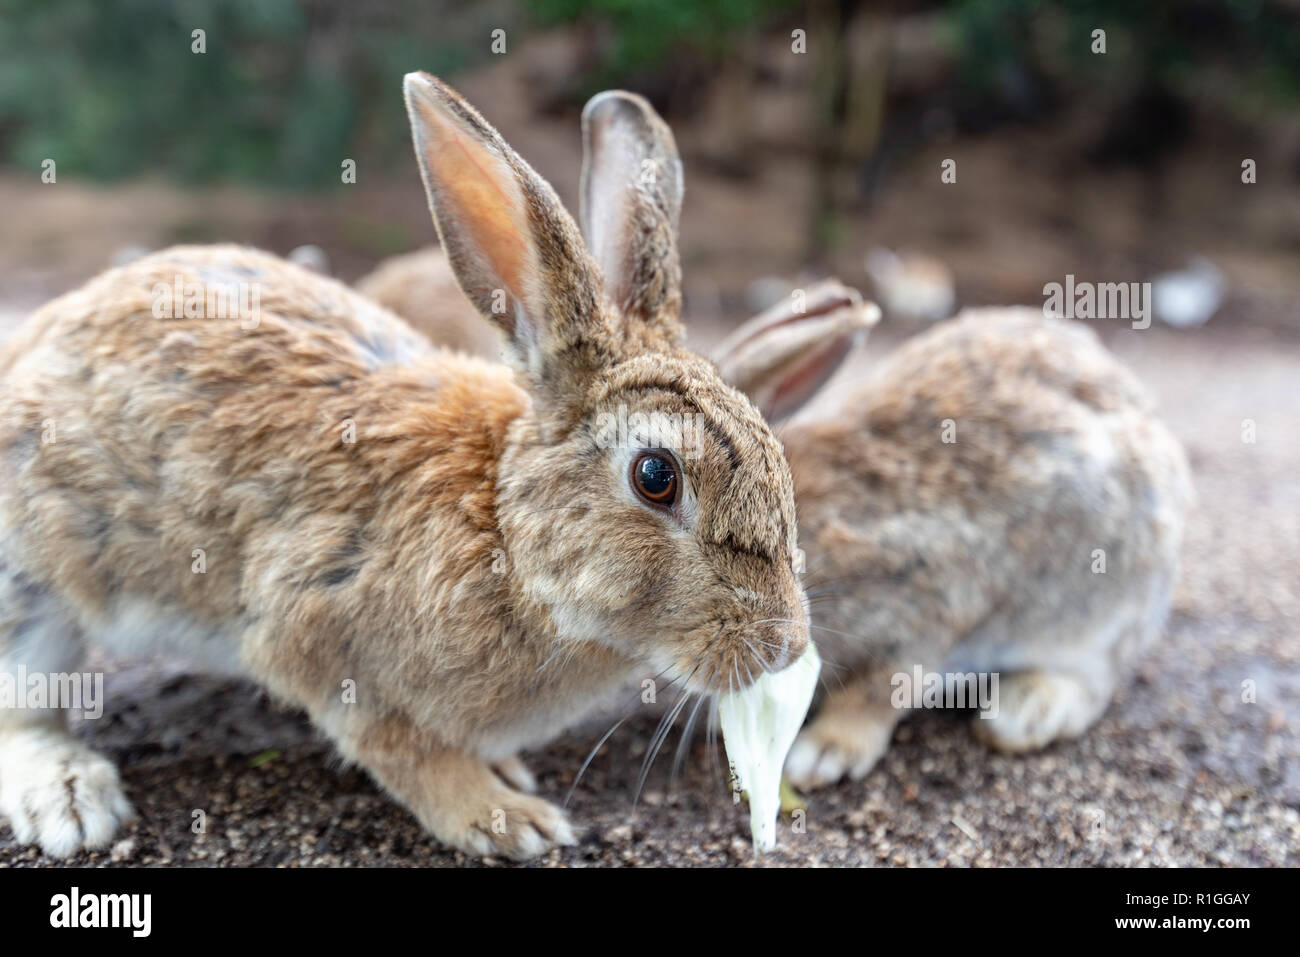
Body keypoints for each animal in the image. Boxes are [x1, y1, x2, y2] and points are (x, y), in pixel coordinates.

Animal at [0, 74, 810, 861]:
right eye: (656, 476)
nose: (785, 646)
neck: (505, 535)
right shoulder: (319, 636)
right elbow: (405, 751)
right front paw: (506, 818)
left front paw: (509, 773)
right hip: (29, 582)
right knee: (23, 705)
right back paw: (70, 800)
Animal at [711, 303, 1193, 787]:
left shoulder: (931, 599)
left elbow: (882, 688)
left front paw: (821, 756)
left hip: (1105, 614)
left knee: (1096, 681)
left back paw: (1022, 712)